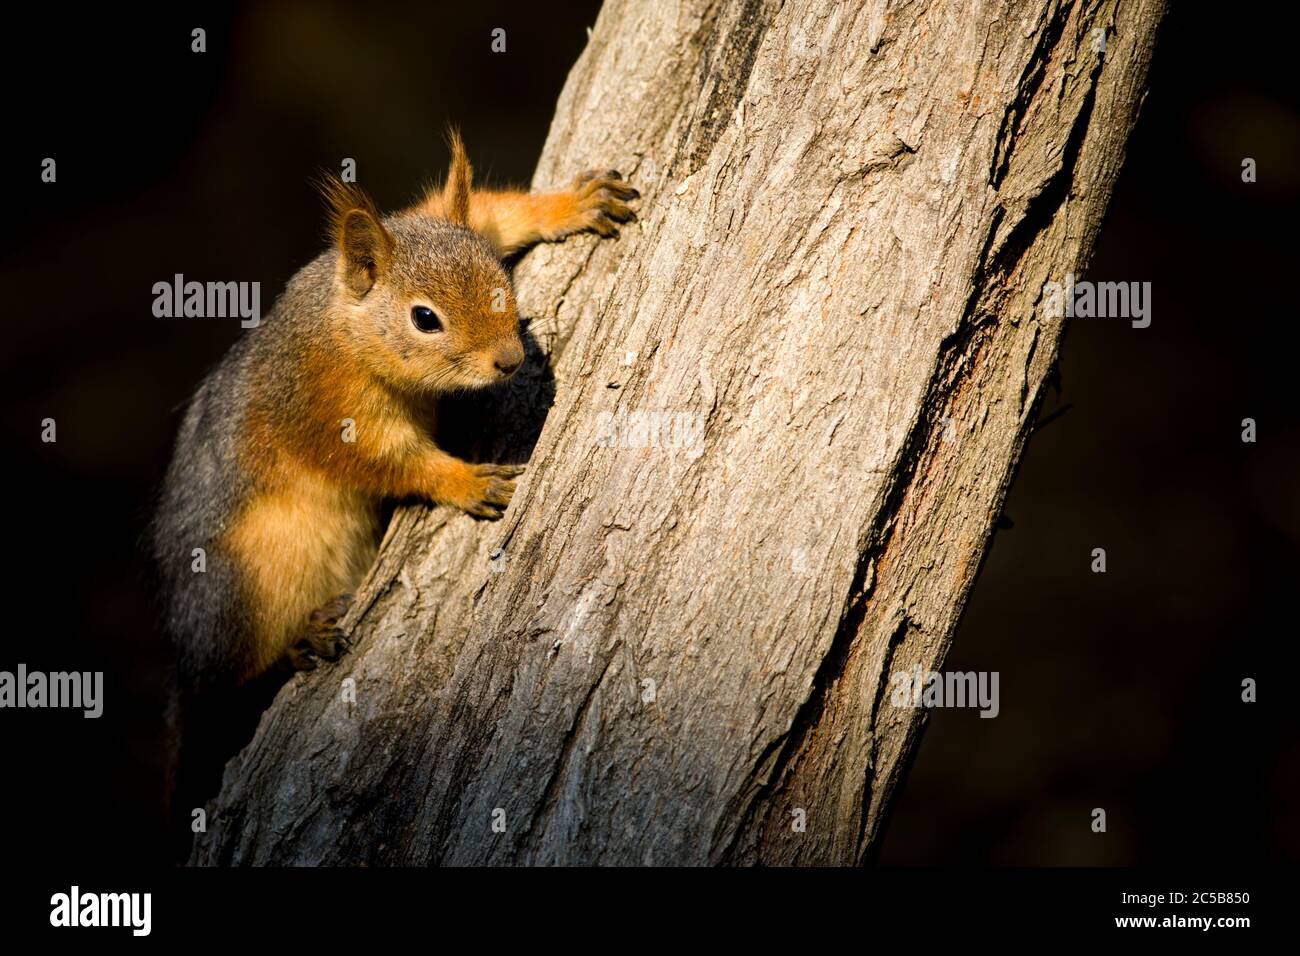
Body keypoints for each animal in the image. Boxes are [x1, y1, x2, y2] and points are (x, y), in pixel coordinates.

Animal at [150, 133, 638, 858]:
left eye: (499, 283)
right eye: (424, 319)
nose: (509, 362)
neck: (345, 331)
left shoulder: (440, 219)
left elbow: (493, 210)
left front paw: (571, 203)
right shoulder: (327, 410)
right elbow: (385, 462)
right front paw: (464, 479)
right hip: (246, 581)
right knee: (229, 681)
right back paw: (296, 644)